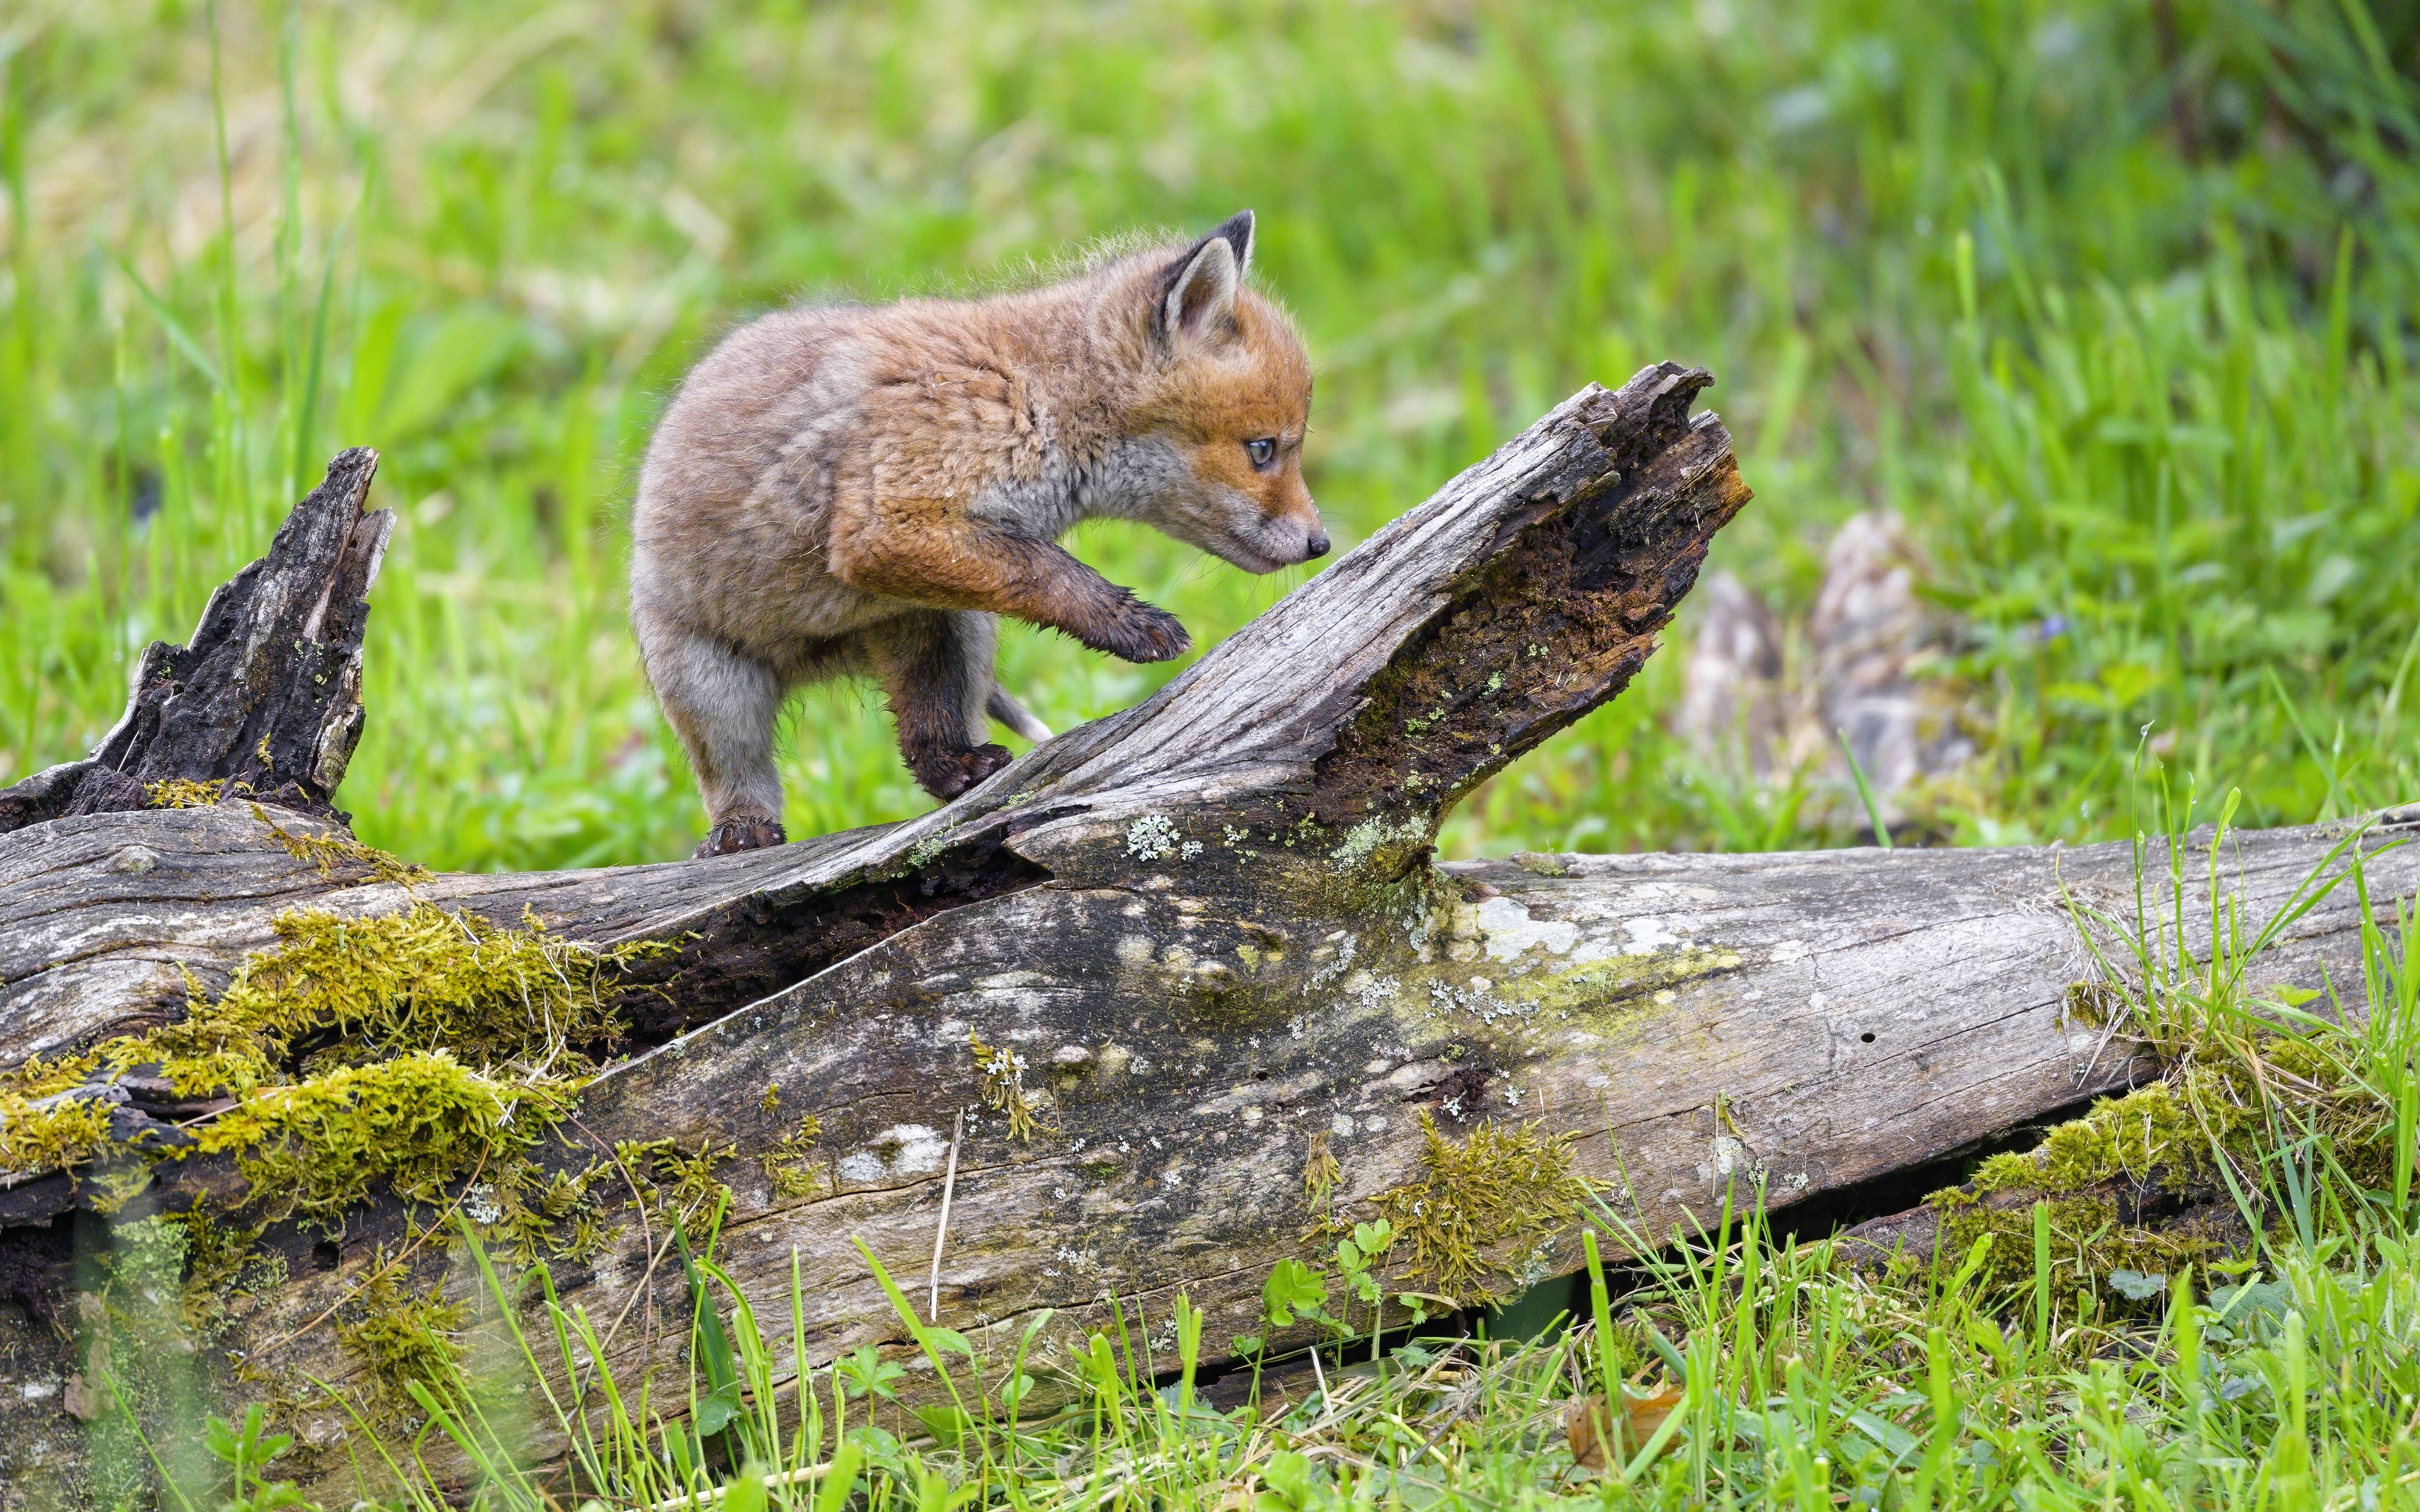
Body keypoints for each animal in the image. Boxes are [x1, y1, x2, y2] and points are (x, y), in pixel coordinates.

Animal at [631, 211, 1324, 858]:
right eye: (1263, 450)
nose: (1321, 544)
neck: (1037, 396)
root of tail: (824, 657)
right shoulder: (886, 527)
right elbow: (1044, 566)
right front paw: (1127, 623)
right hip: (711, 685)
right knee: (734, 774)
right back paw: (740, 828)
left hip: (944, 627)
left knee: (924, 737)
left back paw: (958, 770)